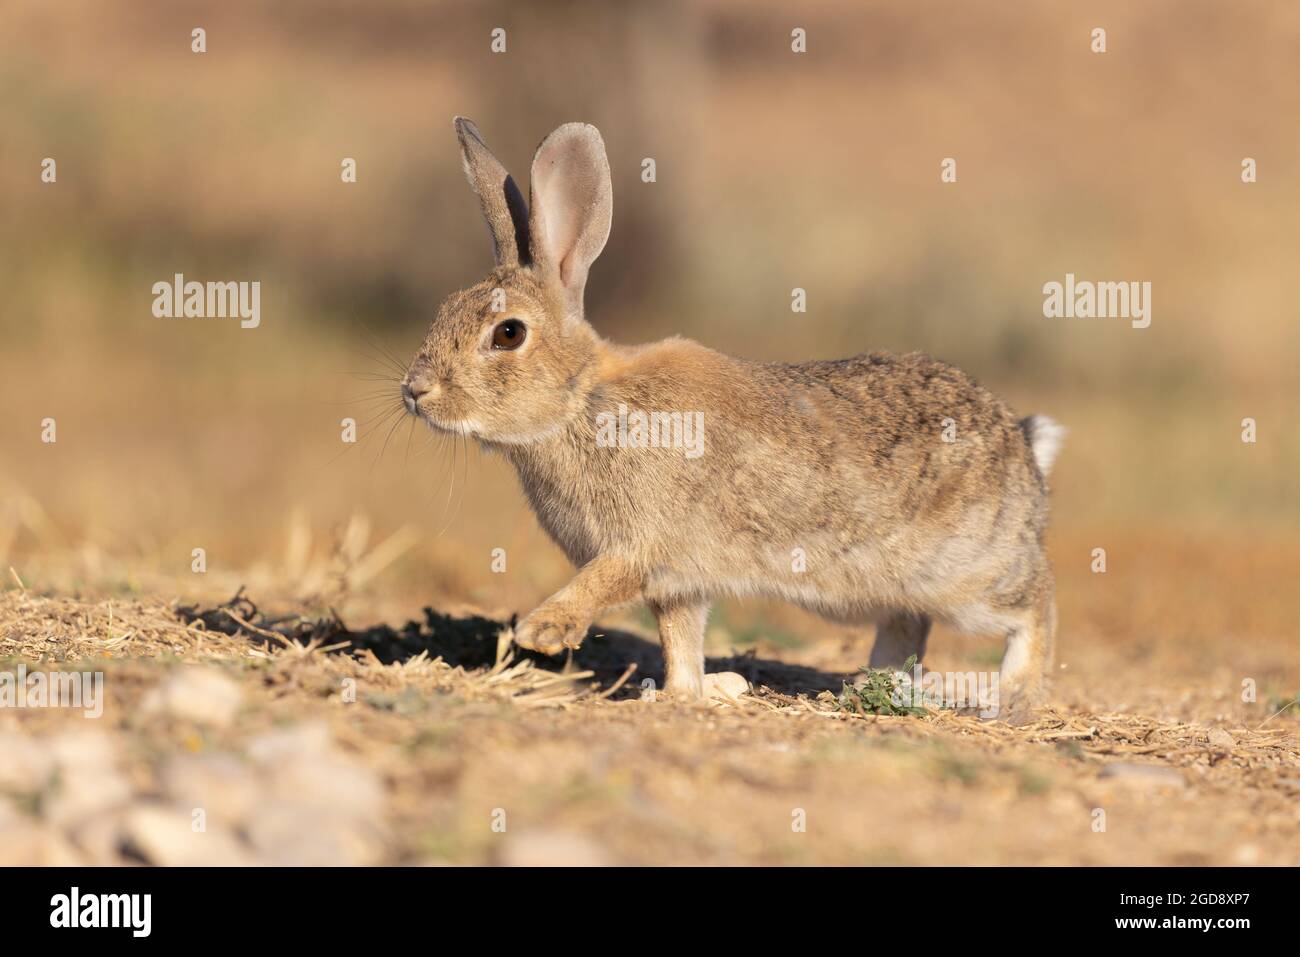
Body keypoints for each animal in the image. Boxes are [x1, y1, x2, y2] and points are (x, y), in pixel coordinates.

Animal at [400, 117, 1064, 719]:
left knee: (1035, 603)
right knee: (910, 626)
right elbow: (679, 638)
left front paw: (541, 630)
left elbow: (607, 582)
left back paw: (1010, 698)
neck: (581, 401)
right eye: (444, 308)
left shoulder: (643, 544)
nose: (414, 391)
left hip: (966, 572)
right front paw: (685, 693)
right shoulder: (679, 581)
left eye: (508, 333)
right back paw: (864, 687)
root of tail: (1023, 448)